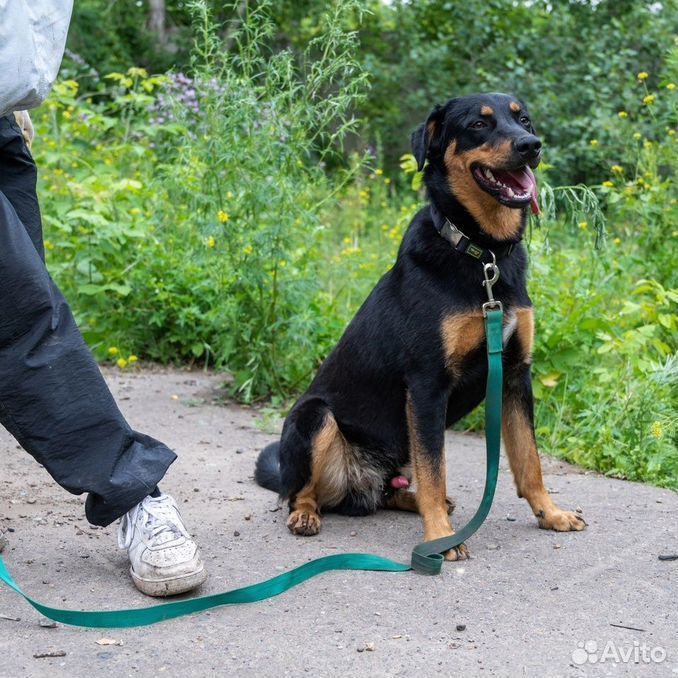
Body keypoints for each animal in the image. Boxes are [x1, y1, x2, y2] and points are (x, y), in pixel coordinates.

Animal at [258, 93, 588, 560]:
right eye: (478, 125)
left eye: (523, 119)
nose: (531, 145)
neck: (483, 255)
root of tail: (359, 482)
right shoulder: (428, 385)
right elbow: (436, 470)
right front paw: (439, 539)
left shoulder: (515, 374)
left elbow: (530, 463)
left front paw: (551, 514)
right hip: (313, 416)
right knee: (299, 492)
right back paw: (306, 514)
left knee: (385, 493)